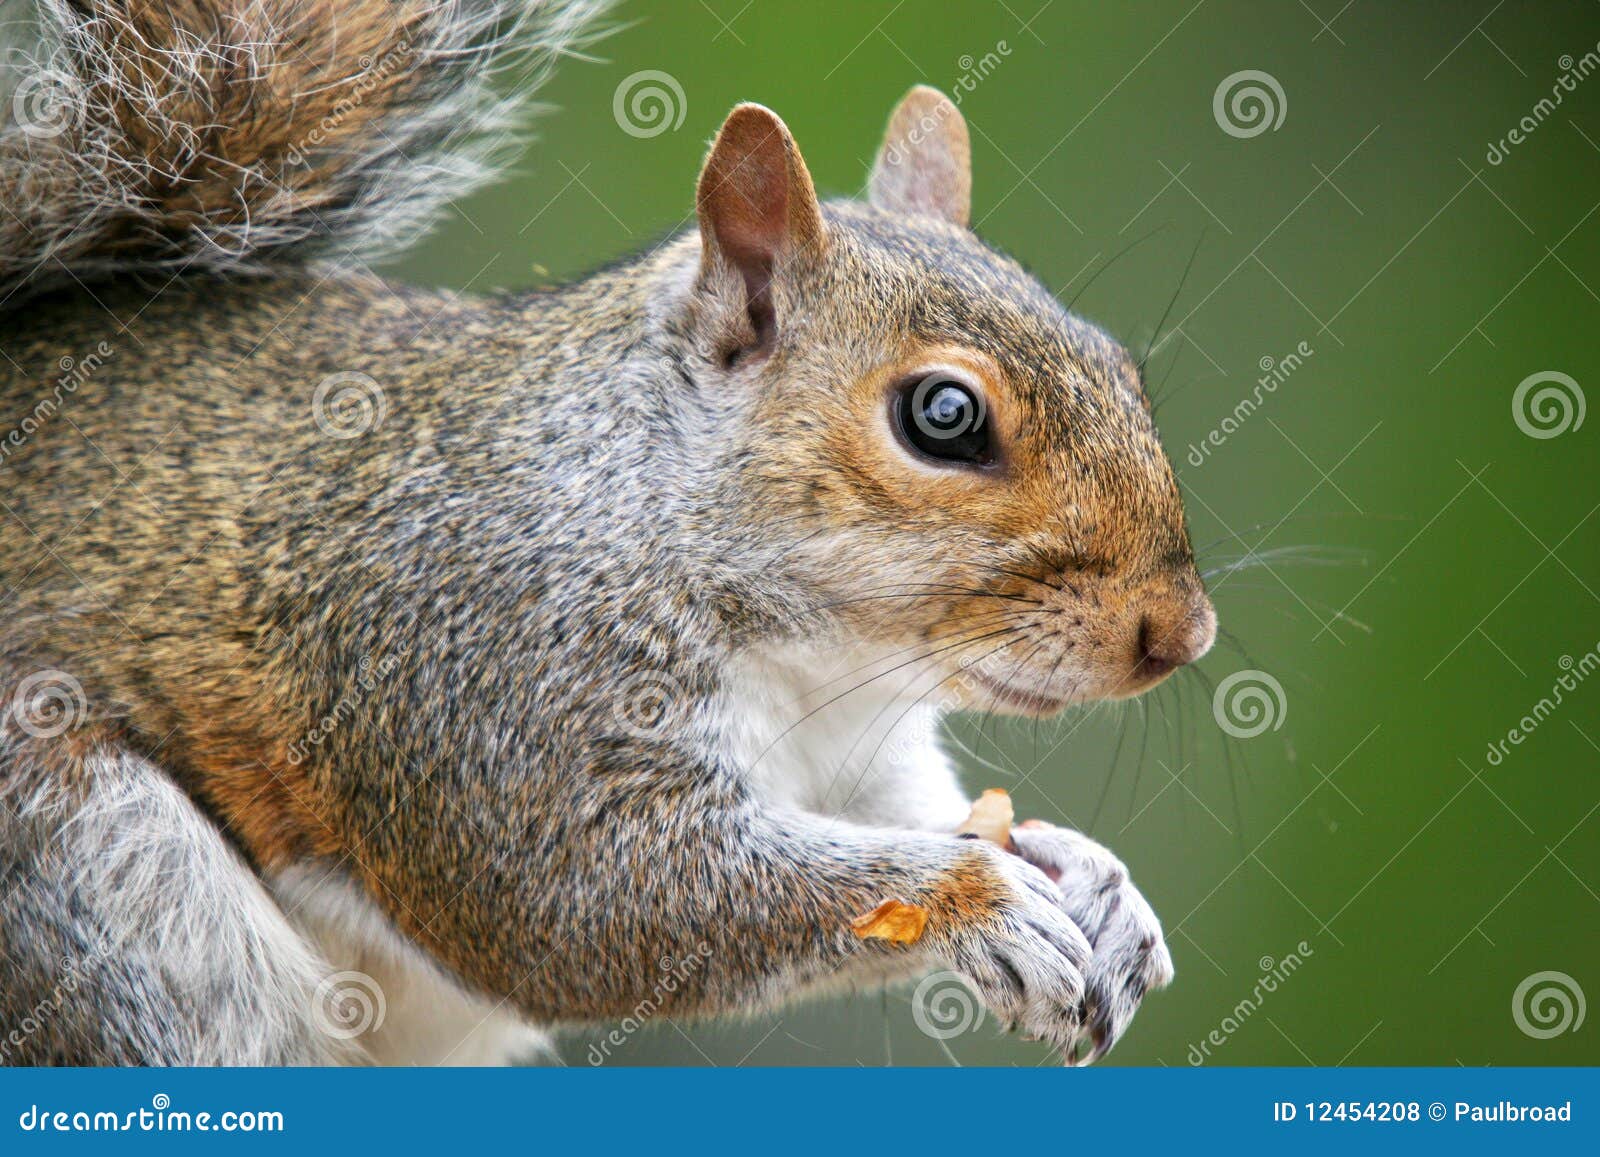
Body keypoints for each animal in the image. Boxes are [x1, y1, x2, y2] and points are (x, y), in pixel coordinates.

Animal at [0, 0, 1216, 1066]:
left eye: (1119, 365)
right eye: (945, 416)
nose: (1180, 634)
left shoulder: (859, 760)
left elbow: (935, 815)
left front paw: (1096, 882)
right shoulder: (485, 677)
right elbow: (592, 901)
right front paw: (976, 898)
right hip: (95, 880)